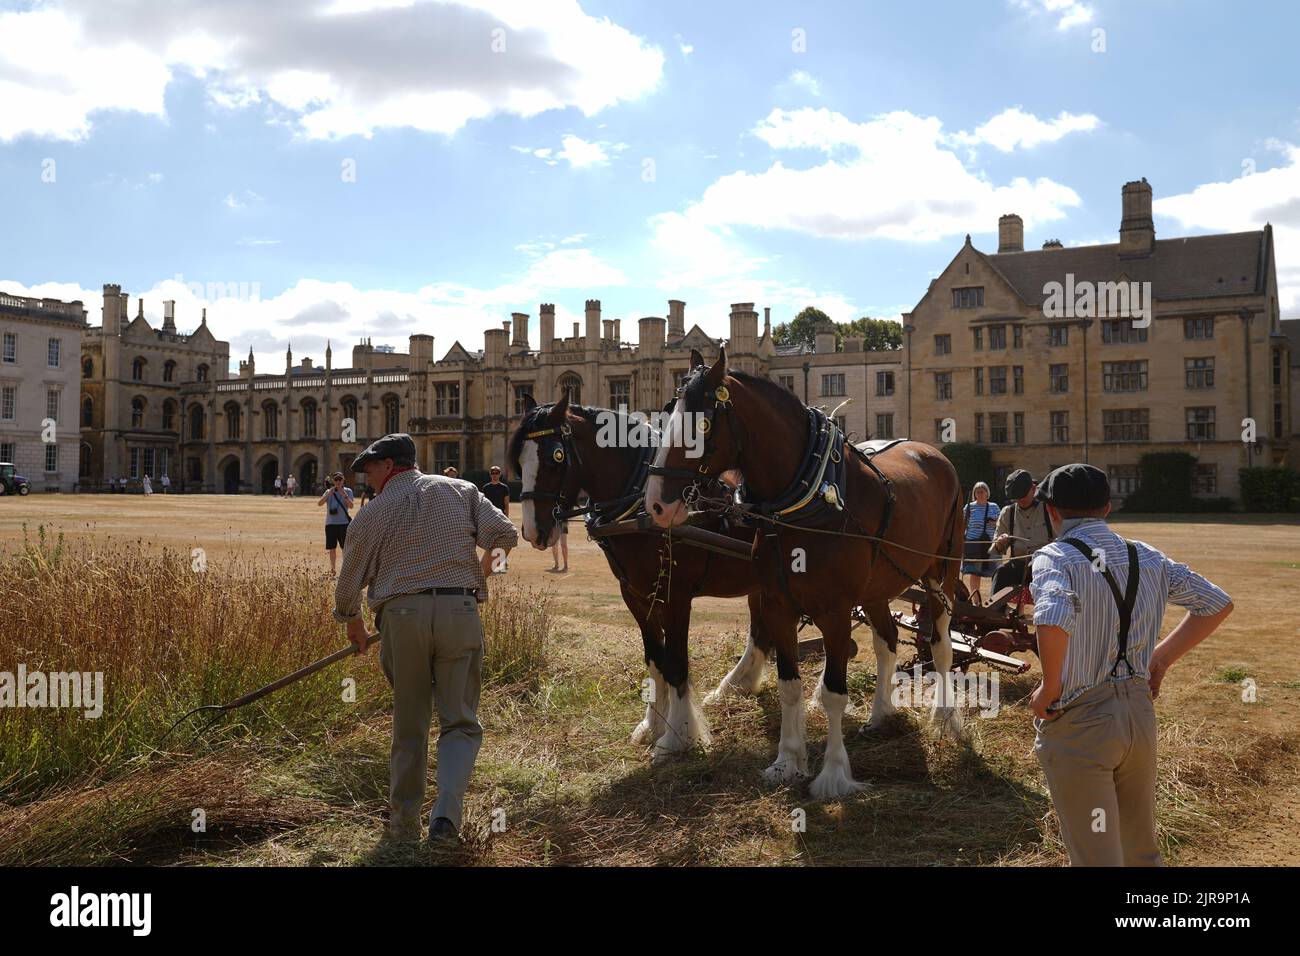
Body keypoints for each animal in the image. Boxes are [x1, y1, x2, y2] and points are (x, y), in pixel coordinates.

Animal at [508, 392, 769, 760]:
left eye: (555, 457)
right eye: (519, 459)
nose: (534, 531)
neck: (640, 505)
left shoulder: (675, 596)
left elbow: (676, 662)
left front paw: (679, 736)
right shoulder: (634, 594)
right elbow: (655, 658)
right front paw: (653, 724)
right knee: (761, 632)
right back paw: (735, 684)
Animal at [644, 347, 966, 799]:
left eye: (702, 423)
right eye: (667, 414)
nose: (656, 504)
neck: (805, 500)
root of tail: (932, 453)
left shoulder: (835, 612)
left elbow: (833, 693)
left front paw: (832, 774)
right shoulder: (778, 605)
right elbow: (788, 685)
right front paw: (788, 761)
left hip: (943, 574)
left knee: (940, 645)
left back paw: (944, 719)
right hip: (877, 588)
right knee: (886, 642)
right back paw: (881, 713)